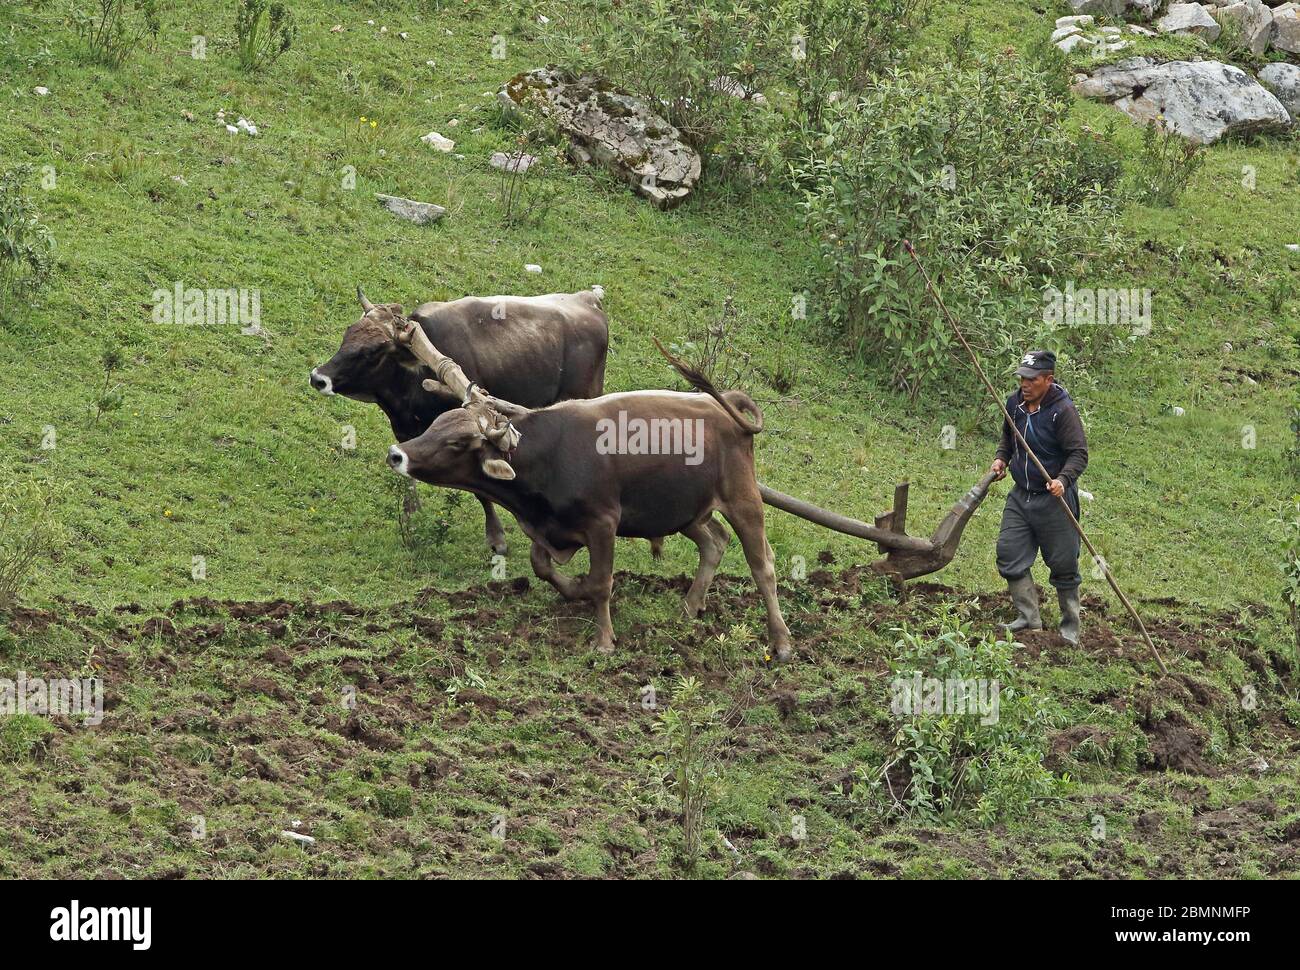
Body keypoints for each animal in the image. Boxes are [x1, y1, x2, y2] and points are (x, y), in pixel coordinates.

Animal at [310, 288, 608, 554]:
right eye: (347, 333)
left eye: (372, 352)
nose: (317, 378)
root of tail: (588, 300)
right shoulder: (407, 432)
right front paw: (411, 518)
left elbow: (482, 490)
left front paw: (496, 538)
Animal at [384, 318, 794, 662]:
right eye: (436, 424)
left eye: (456, 443)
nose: (396, 454)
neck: (548, 455)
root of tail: (724, 407)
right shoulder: (548, 526)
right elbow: (543, 567)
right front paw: (574, 589)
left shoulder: (603, 523)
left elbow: (601, 583)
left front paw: (604, 639)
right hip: (685, 510)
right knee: (714, 542)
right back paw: (690, 606)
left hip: (743, 500)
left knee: (763, 566)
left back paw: (781, 641)